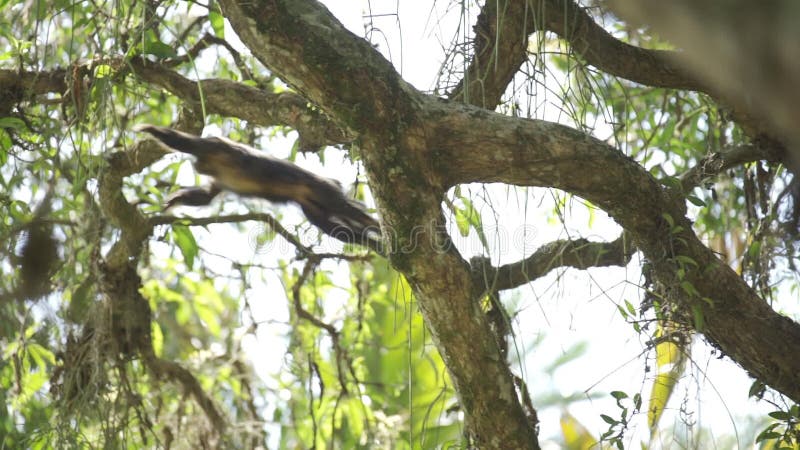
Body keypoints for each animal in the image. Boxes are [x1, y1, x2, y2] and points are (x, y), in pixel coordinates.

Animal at [134, 125, 381, 249]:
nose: (198, 166)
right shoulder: (217, 175)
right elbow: (207, 197)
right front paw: (174, 200)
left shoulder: (218, 146)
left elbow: (184, 141)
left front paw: (149, 129)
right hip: (311, 205)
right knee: (335, 230)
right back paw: (374, 244)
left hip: (323, 189)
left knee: (344, 208)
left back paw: (377, 227)